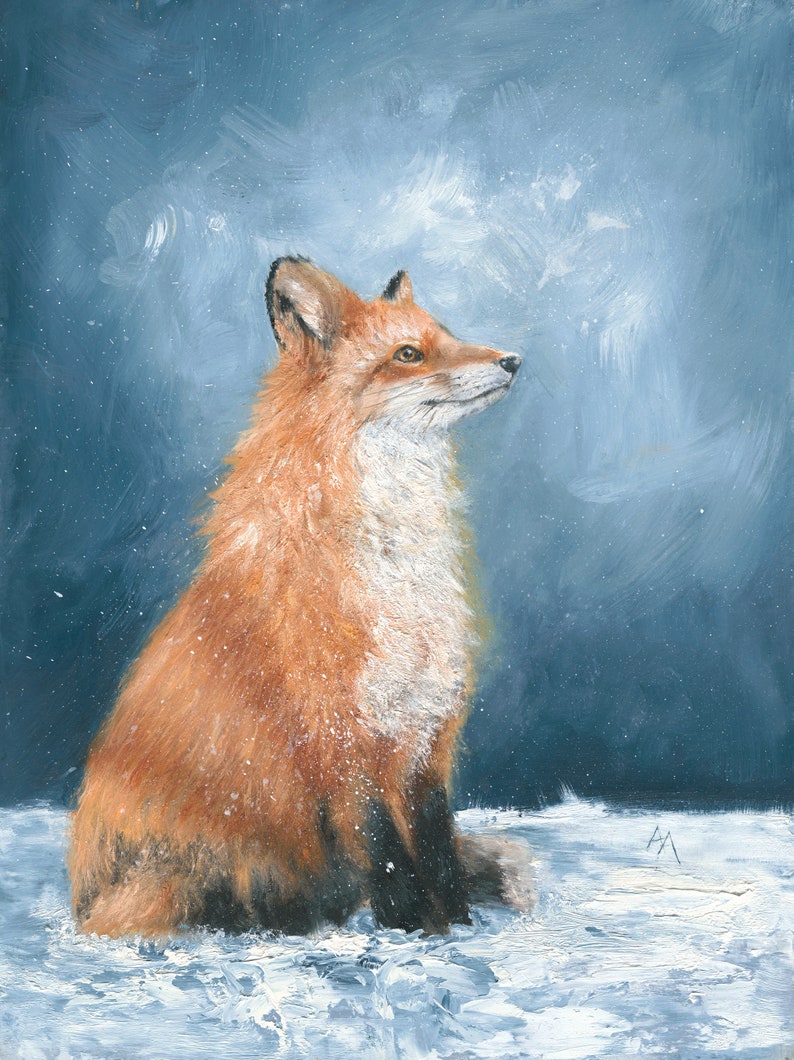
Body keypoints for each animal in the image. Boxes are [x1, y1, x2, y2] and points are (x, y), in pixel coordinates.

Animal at [68, 257, 527, 938]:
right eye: (408, 354)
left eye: (447, 335)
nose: (513, 360)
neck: (393, 560)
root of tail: (81, 900)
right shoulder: (341, 735)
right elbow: (387, 854)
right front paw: (412, 929)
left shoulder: (425, 733)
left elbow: (437, 846)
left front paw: (457, 925)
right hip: (188, 874)